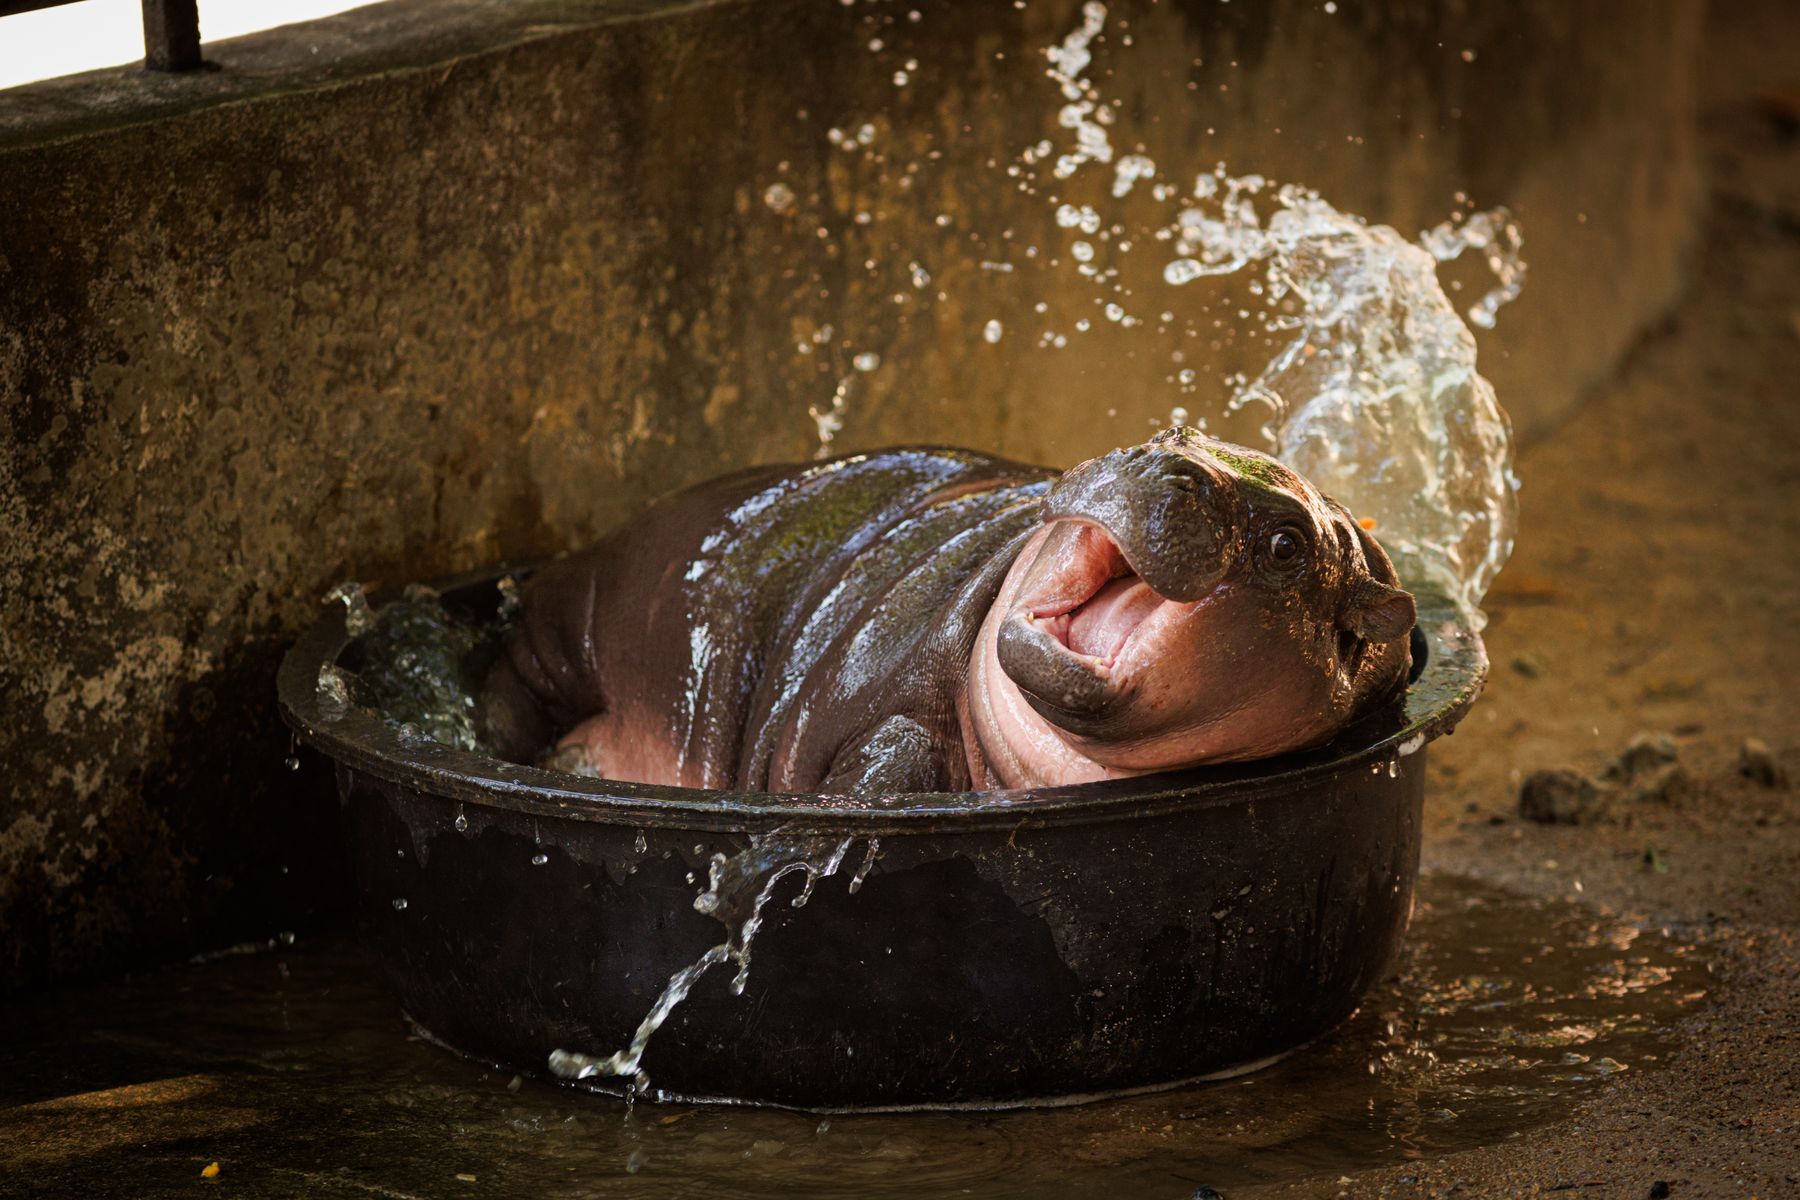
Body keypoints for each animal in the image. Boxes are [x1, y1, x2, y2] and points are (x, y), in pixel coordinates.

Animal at [479, 427, 1417, 795]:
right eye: (1172, 431)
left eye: (1287, 546)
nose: (1163, 464)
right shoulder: (889, 696)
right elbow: (883, 759)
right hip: (569, 634)